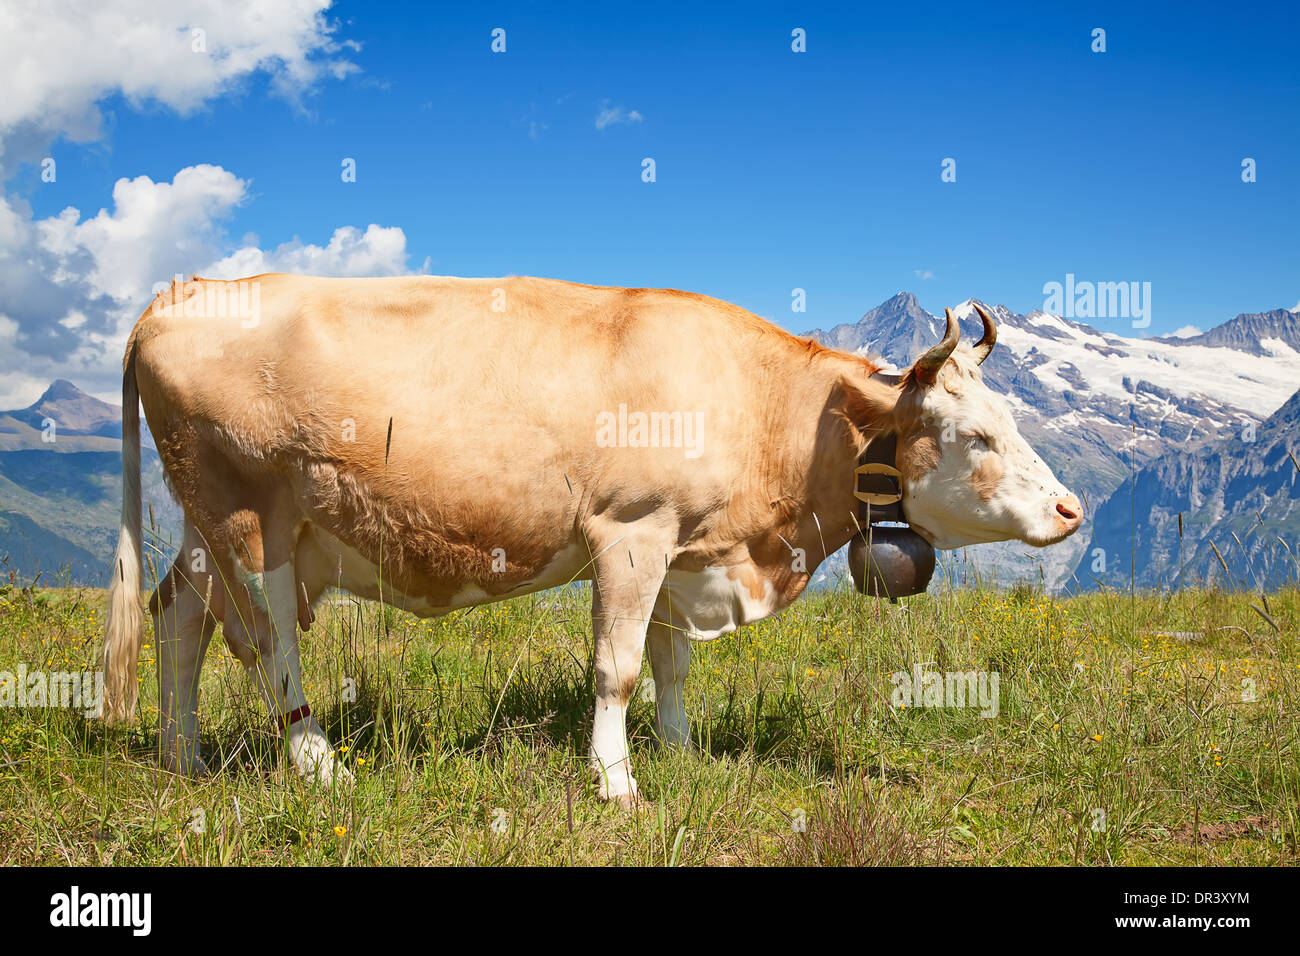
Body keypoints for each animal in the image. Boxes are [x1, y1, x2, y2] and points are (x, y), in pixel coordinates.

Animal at [98, 275, 1082, 805]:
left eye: (1008, 420)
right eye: (976, 436)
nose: (1074, 511)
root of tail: (179, 295)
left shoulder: (686, 549)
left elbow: (671, 664)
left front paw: (681, 752)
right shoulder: (631, 532)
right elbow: (617, 667)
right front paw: (616, 780)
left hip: (208, 526)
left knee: (179, 618)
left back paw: (181, 756)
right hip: (250, 519)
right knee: (267, 641)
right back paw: (316, 764)